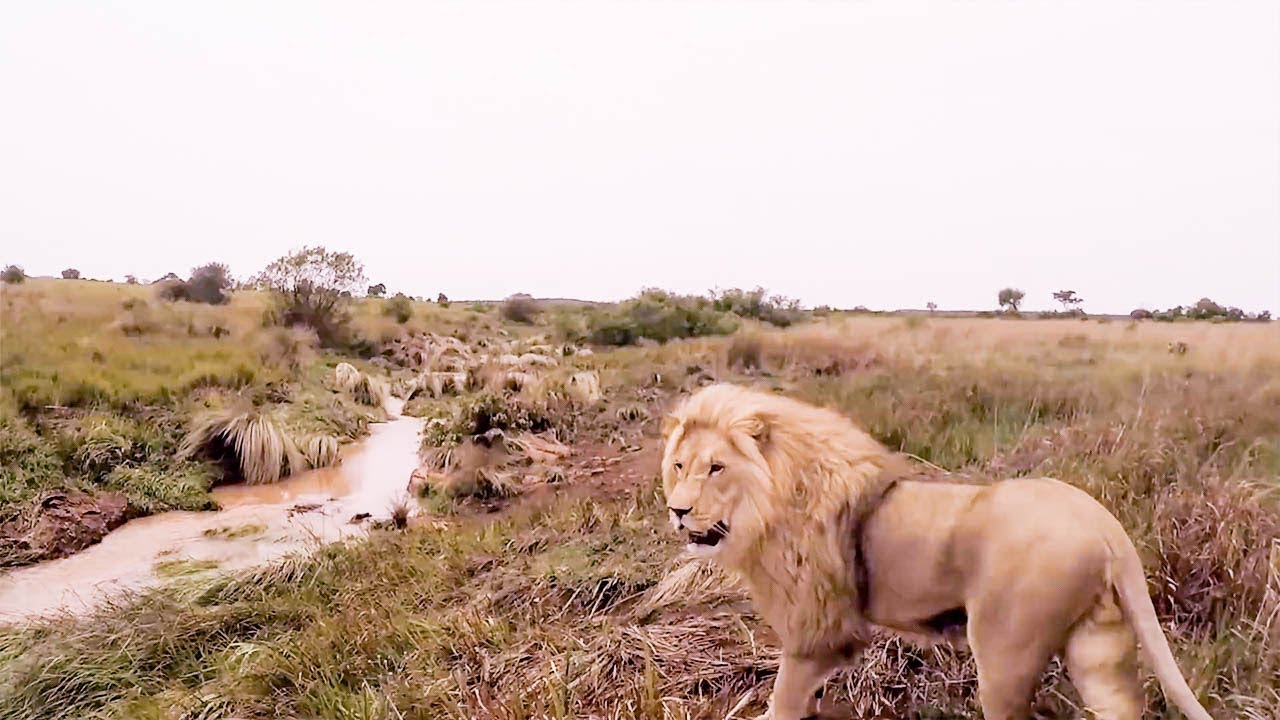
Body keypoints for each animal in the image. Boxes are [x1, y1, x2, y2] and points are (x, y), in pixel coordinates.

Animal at [660, 383, 1213, 720]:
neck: (769, 503)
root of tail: (1104, 523)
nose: (677, 510)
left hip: (1006, 653)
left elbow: (782, 700)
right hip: (1098, 644)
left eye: (716, 468)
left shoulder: (816, 633)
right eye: (680, 465)